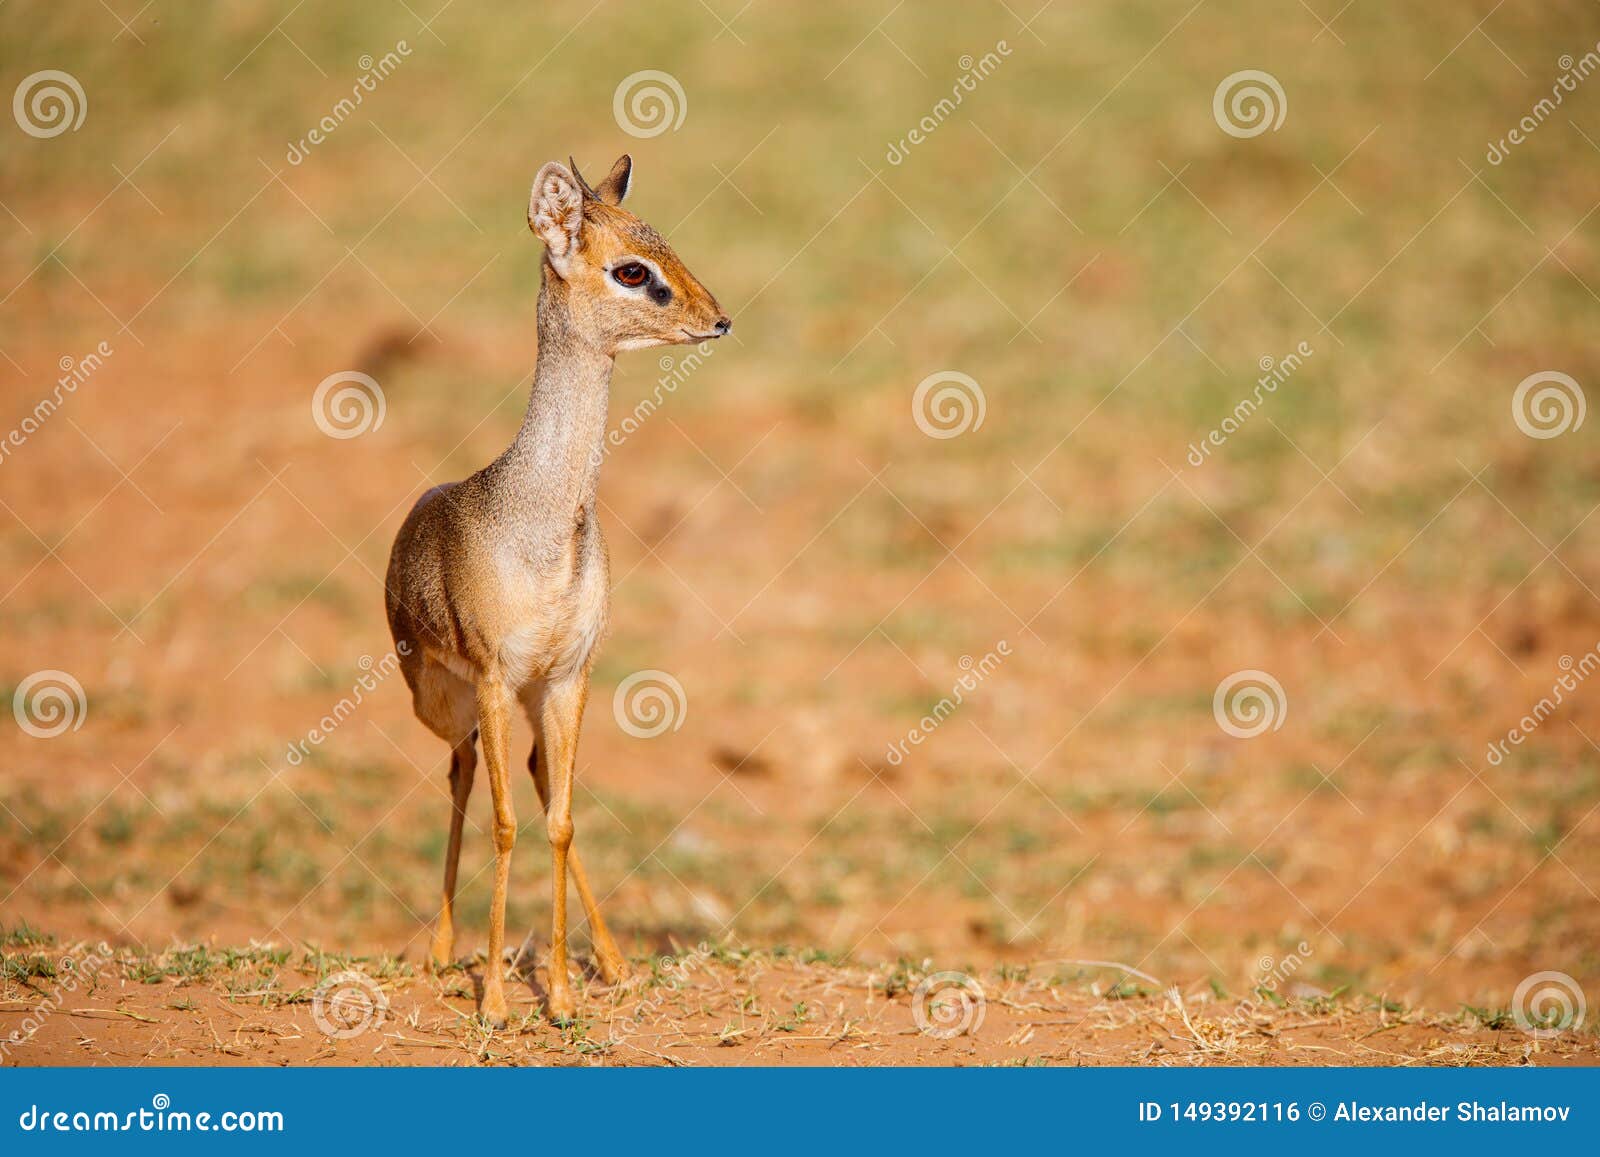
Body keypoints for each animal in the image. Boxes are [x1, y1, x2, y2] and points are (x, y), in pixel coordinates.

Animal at [384, 154, 730, 1026]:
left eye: (662, 241)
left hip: (529, 698)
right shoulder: (495, 674)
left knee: (536, 777)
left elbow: (562, 818)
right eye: (632, 269)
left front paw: (567, 993)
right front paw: (496, 1003)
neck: (540, 525)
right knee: (463, 768)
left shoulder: (570, 674)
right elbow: (507, 823)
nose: (718, 320)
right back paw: (443, 950)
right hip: (449, 700)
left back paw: (609, 960)